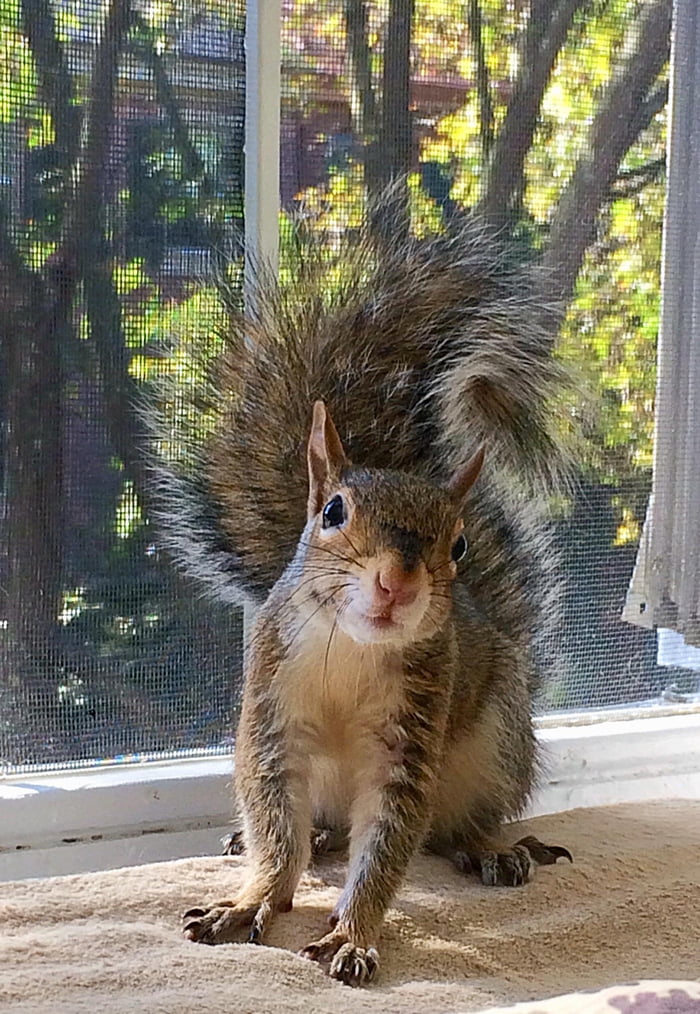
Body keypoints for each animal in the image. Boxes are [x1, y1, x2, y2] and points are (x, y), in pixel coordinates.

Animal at [152, 198, 575, 986]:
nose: (398, 579)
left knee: (449, 829)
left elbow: (388, 846)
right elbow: (275, 833)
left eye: (459, 545)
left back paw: (495, 849)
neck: (349, 652)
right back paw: (298, 844)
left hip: (492, 746)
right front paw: (250, 900)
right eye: (332, 512)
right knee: (307, 830)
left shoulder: (408, 741)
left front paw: (353, 933)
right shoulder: (272, 719)